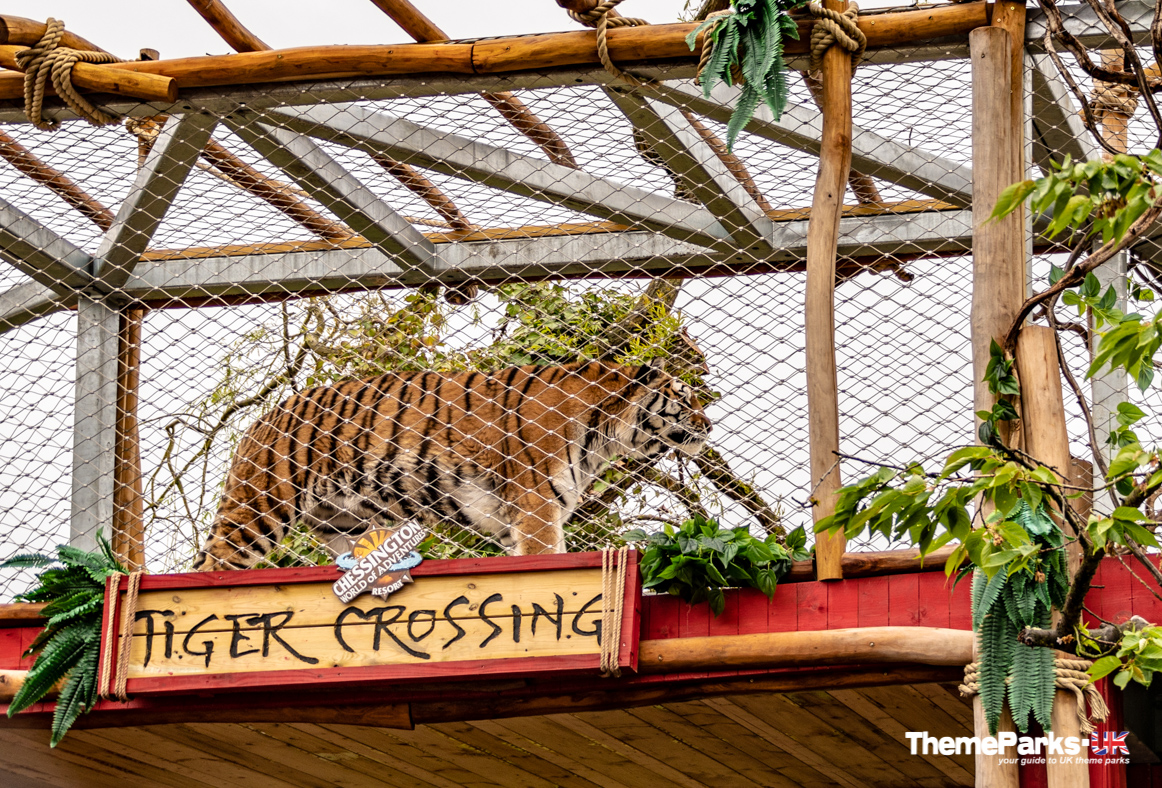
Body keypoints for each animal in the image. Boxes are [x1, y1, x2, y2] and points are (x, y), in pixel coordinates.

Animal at [194, 358, 712, 570]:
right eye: (686, 398)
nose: (709, 423)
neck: (604, 430)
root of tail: (262, 418)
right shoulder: (536, 505)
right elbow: (550, 560)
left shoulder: (513, 520)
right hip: (262, 507)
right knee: (216, 564)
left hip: (344, 522)